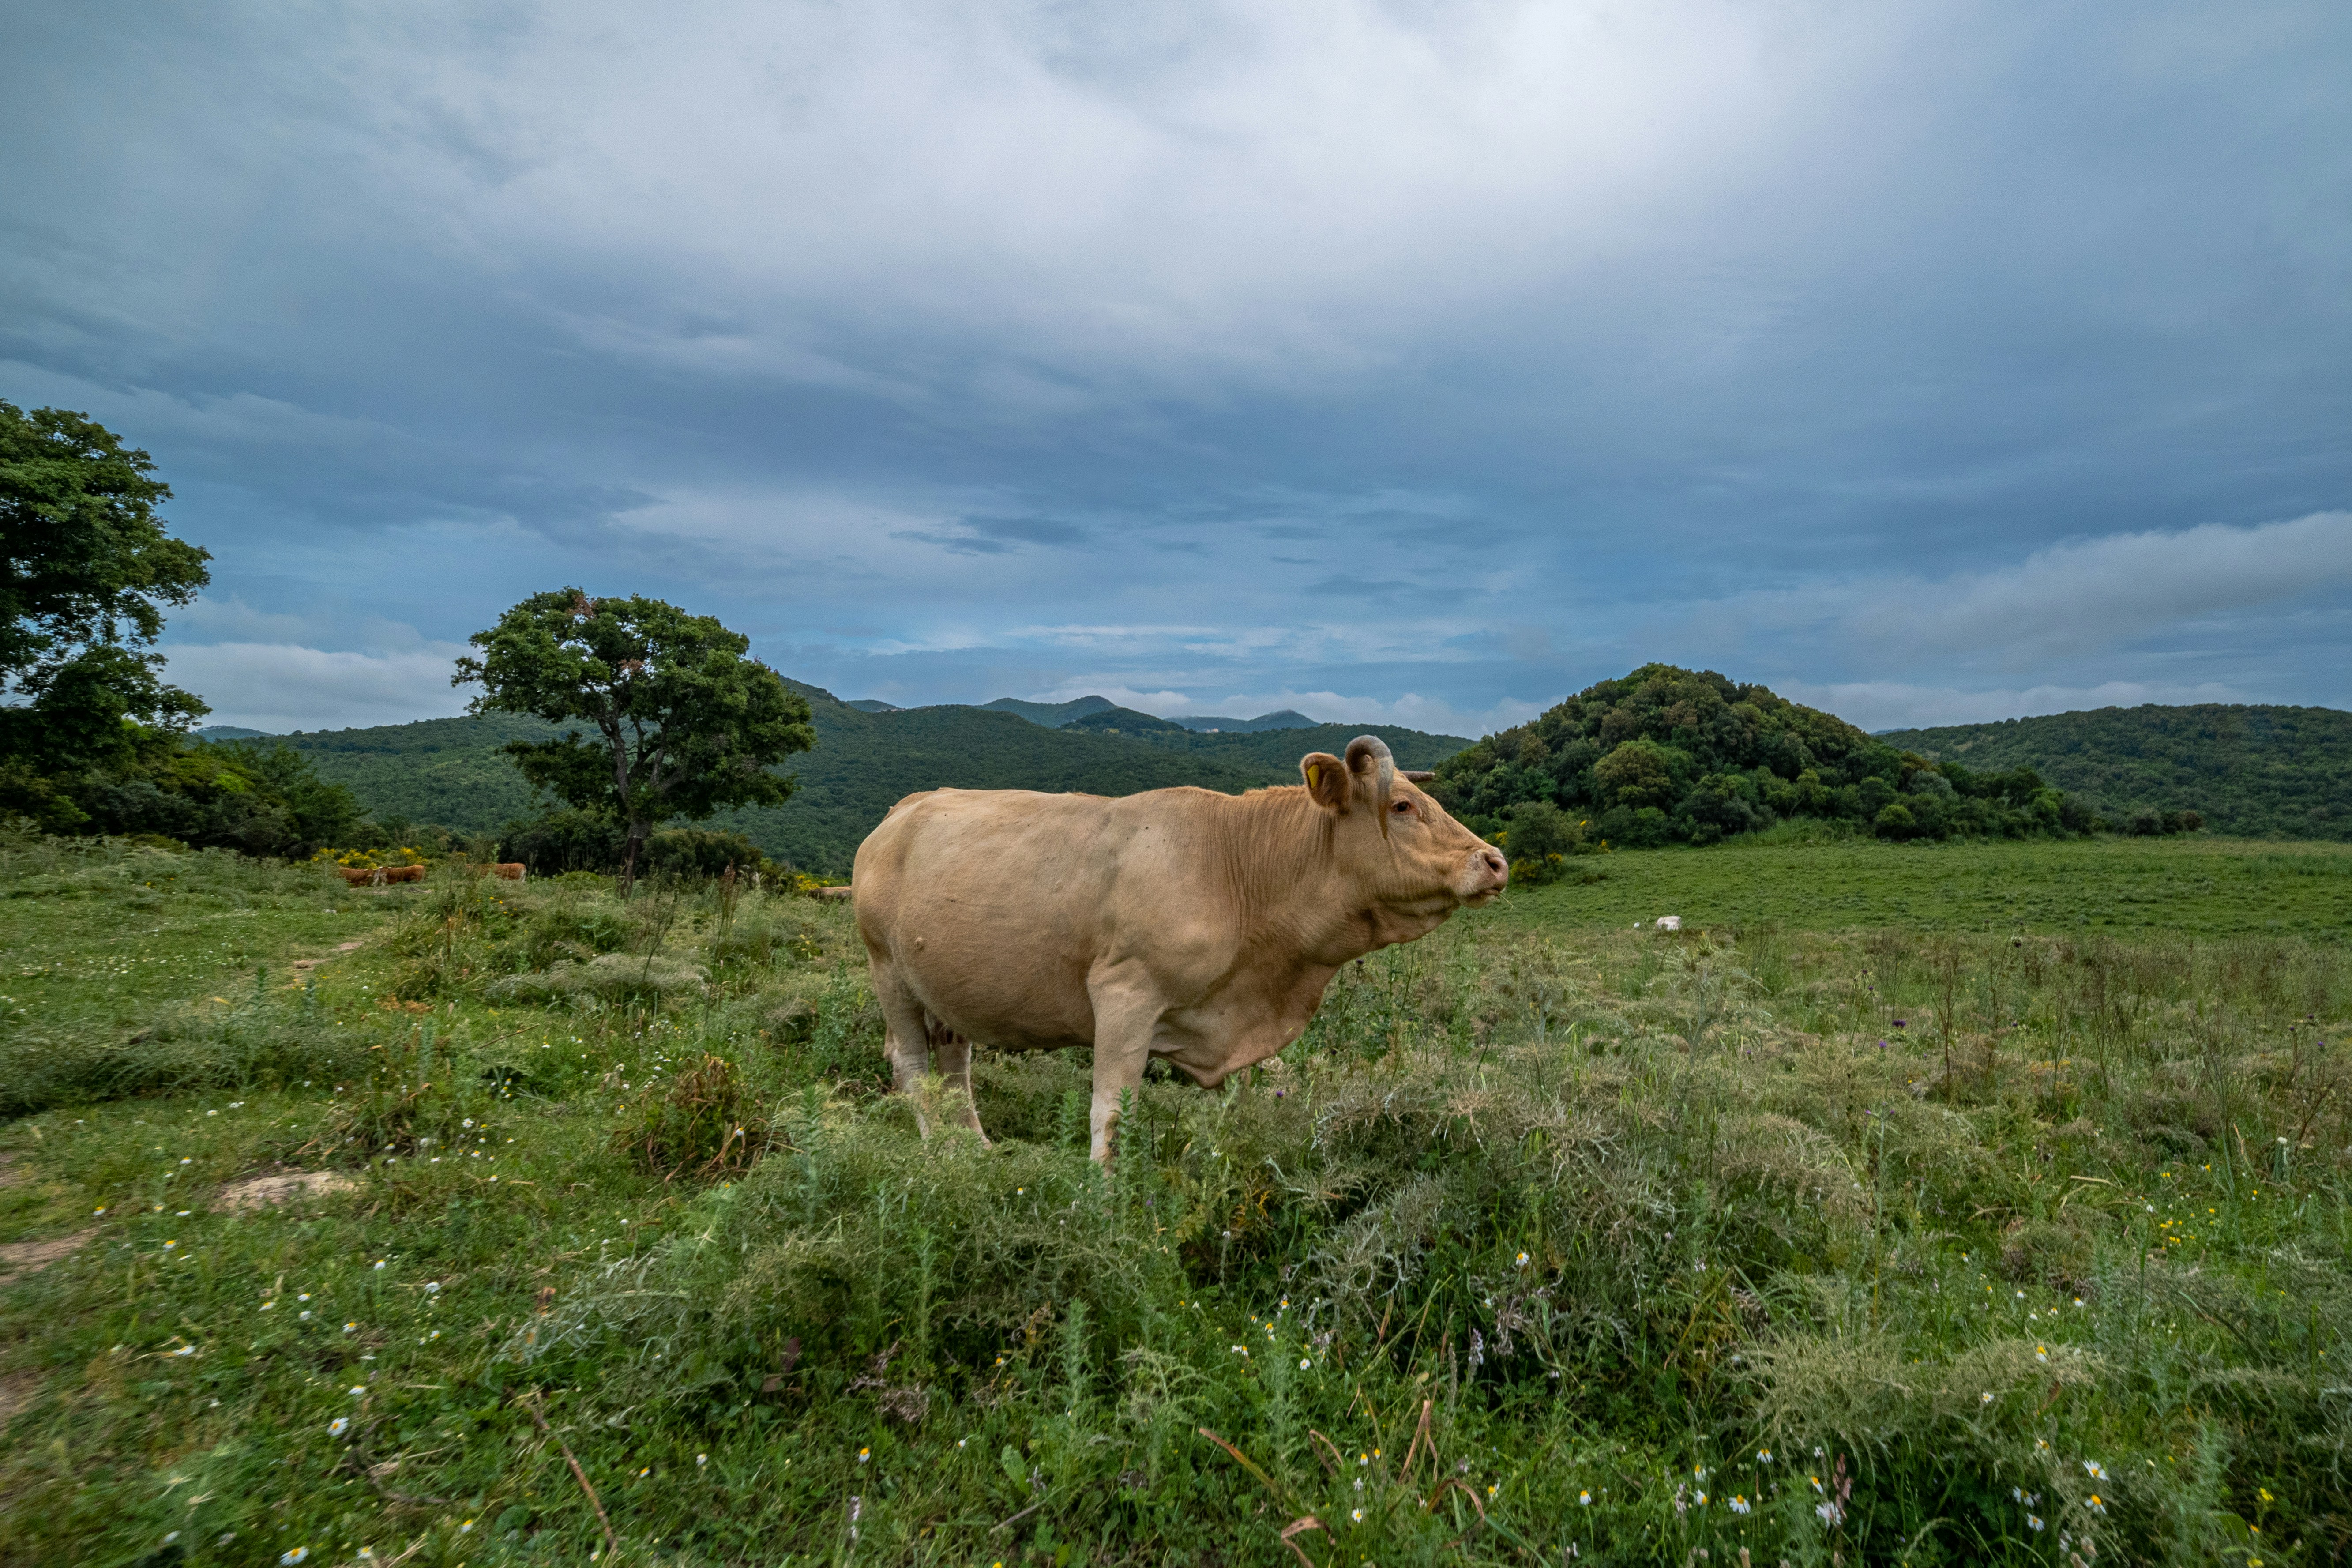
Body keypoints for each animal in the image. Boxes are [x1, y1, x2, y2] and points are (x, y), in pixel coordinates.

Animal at [851, 735, 1508, 1160]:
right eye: (1401, 806)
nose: (1494, 860)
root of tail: (904, 808)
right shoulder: (1124, 993)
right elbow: (1110, 1112)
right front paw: (1107, 1203)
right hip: (889, 971)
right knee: (910, 1064)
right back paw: (940, 1152)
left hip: (945, 986)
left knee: (952, 1064)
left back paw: (975, 1147)